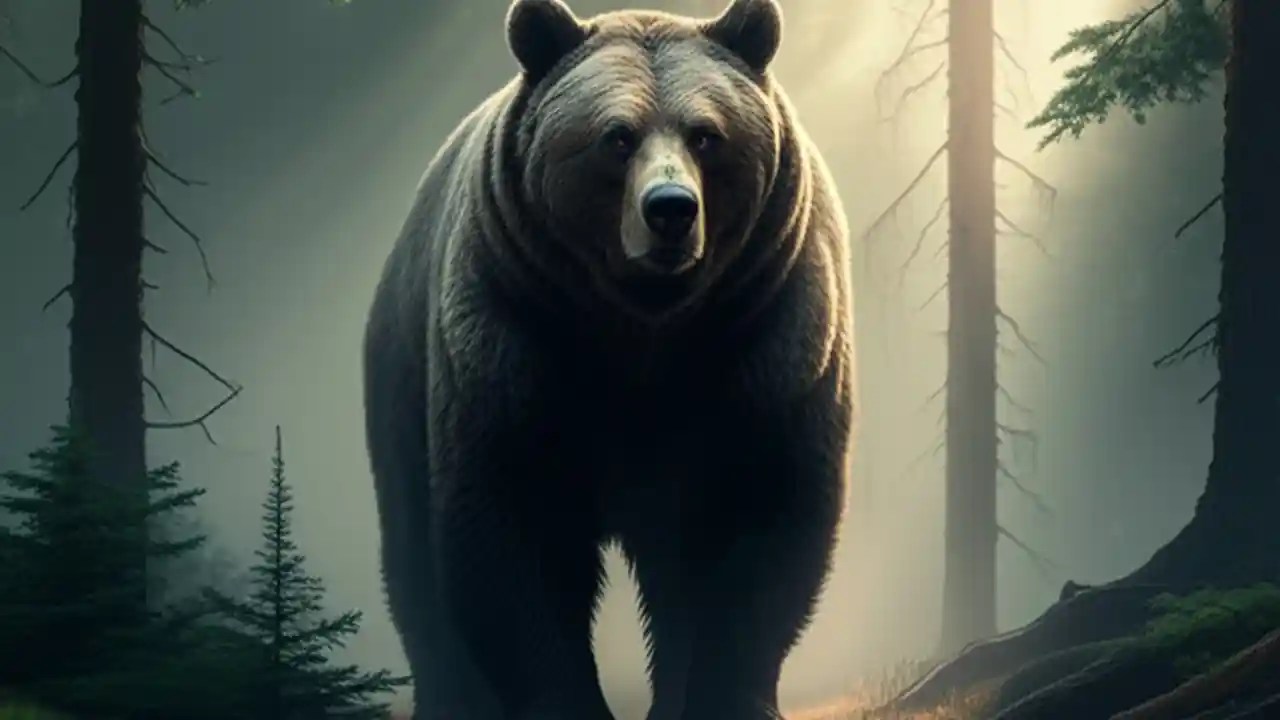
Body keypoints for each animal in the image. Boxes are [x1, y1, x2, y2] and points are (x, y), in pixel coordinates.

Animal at [361, 1, 856, 718]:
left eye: (706, 135)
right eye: (615, 137)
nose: (671, 210)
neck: (642, 324)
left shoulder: (766, 339)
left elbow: (764, 519)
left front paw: (726, 695)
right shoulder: (517, 342)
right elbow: (518, 536)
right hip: (401, 375)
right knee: (413, 560)